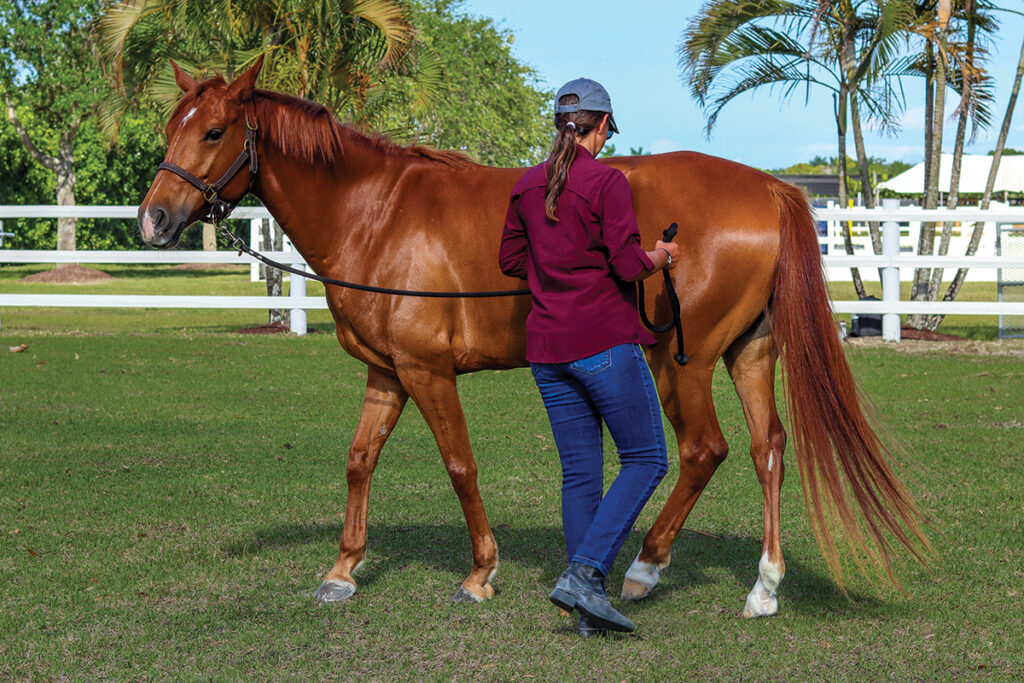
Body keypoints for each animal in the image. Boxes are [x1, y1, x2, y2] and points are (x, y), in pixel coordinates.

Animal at [137, 57, 928, 617]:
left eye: (213, 131)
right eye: (171, 127)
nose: (152, 220)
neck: (377, 213)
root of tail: (769, 187)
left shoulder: (426, 372)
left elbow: (460, 466)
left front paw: (480, 573)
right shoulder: (386, 372)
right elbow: (360, 461)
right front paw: (342, 570)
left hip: (683, 363)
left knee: (705, 451)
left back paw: (644, 568)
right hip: (749, 354)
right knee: (769, 450)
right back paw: (762, 587)